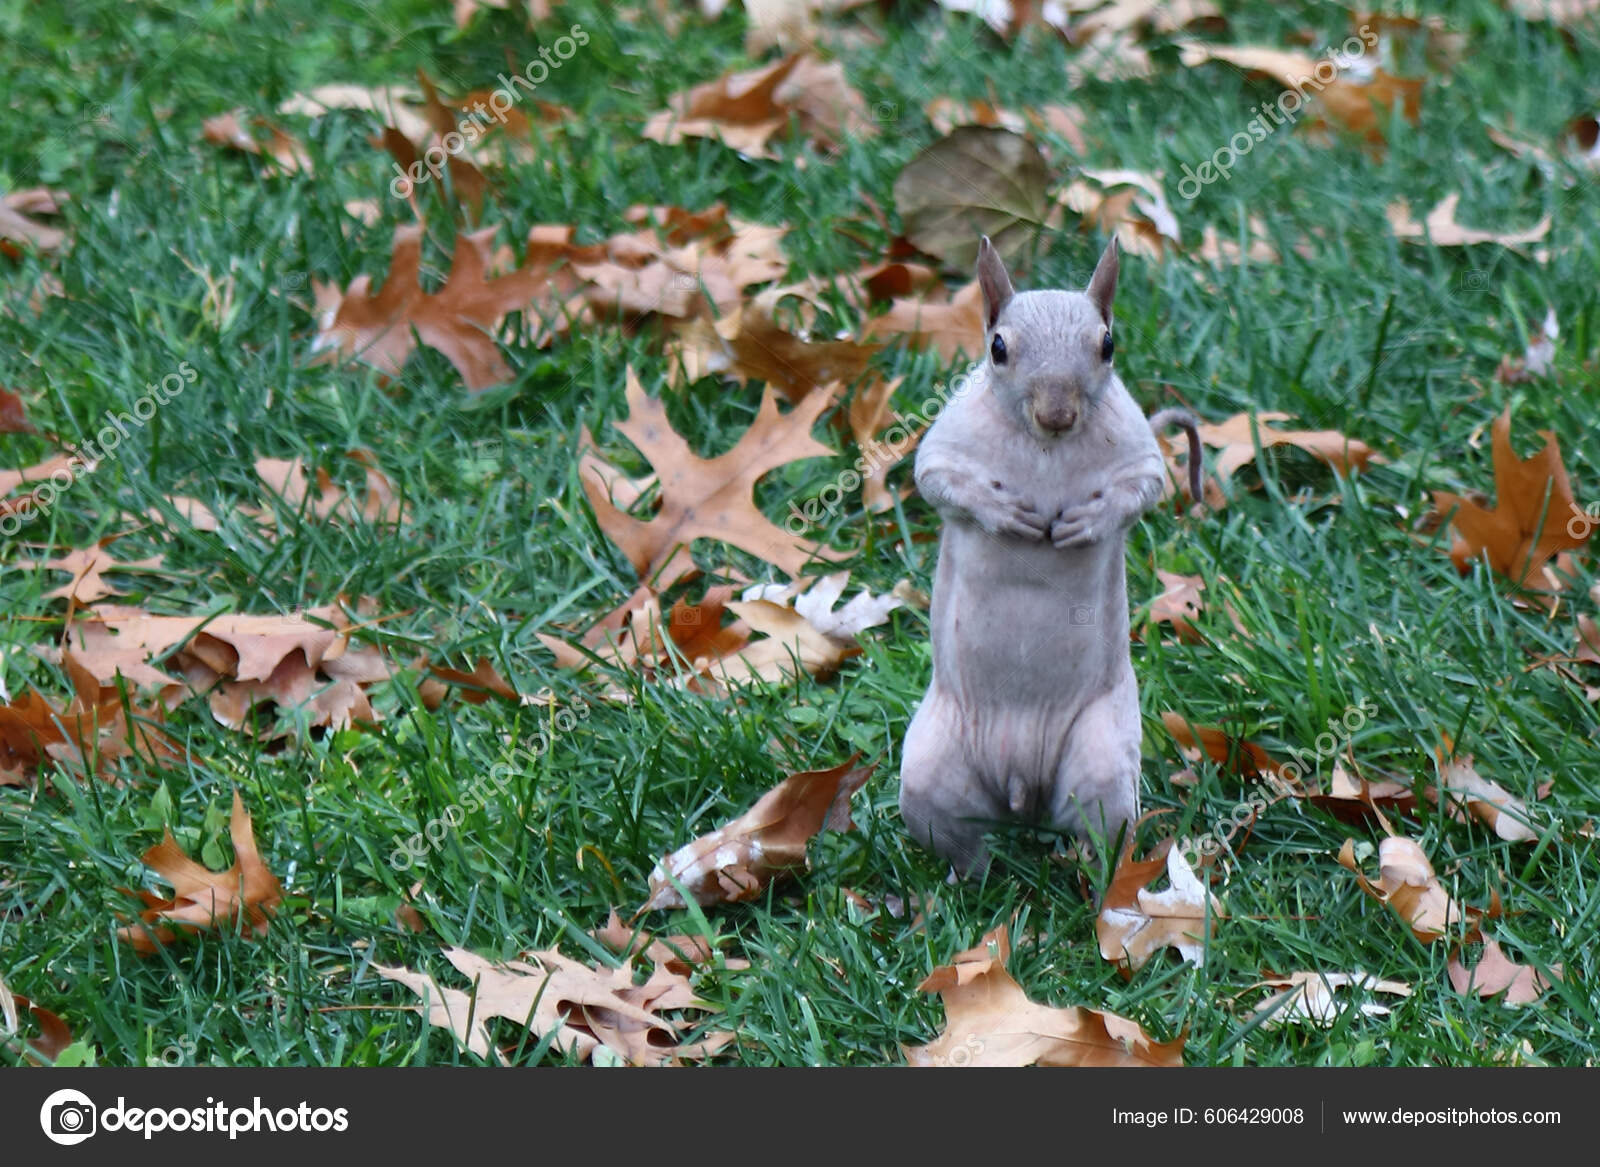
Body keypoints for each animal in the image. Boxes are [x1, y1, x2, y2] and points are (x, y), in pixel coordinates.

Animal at [899, 235, 1204, 874]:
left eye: (1108, 344)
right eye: (997, 348)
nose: (1056, 413)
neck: (1043, 447)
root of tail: (1023, 793)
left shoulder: (1137, 453)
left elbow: (1143, 489)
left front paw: (1088, 523)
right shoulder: (946, 442)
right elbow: (935, 480)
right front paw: (1002, 514)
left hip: (1101, 763)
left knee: (1101, 833)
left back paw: (1098, 882)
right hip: (931, 773)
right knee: (961, 842)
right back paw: (963, 885)